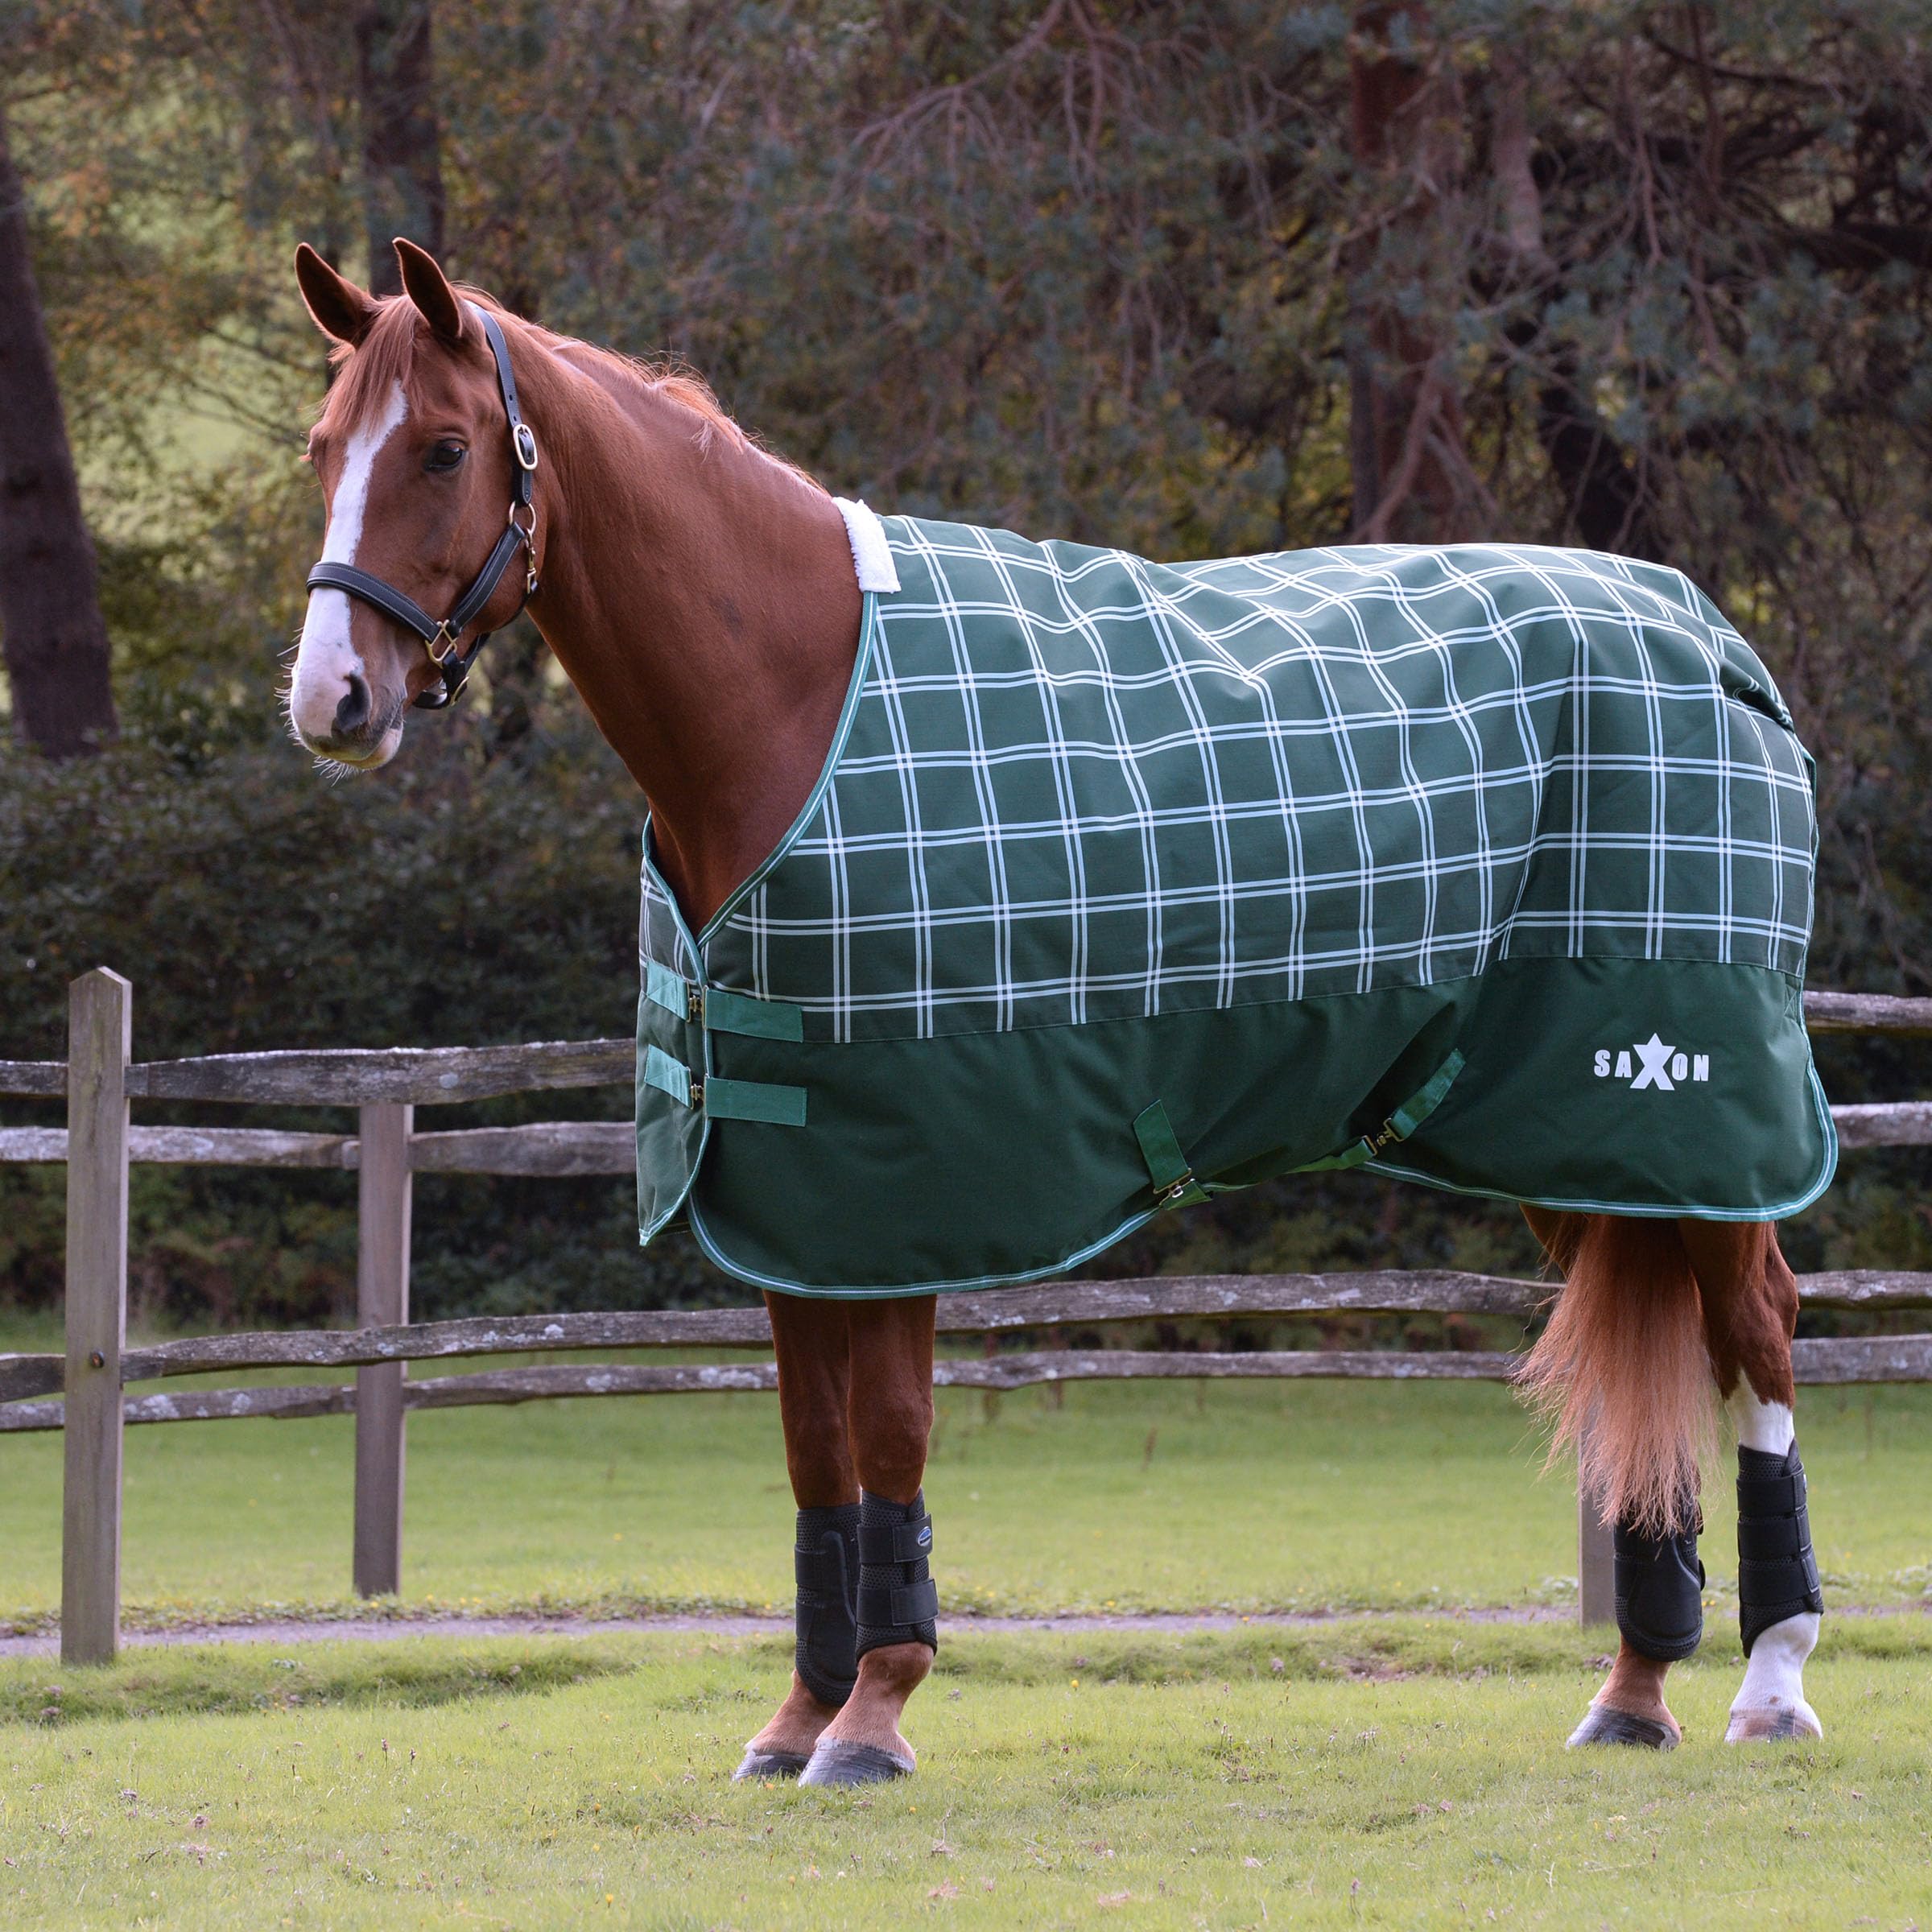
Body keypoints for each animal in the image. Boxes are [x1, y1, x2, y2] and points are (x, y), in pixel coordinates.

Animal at [284, 238, 1828, 1783]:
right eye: (321, 449)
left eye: (441, 448)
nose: (330, 702)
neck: (789, 700)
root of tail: (1708, 635)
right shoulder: (793, 1198)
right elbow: (814, 1454)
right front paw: (799, 1716)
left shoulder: (896, 1189)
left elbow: (891, 1435)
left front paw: (876, 1713)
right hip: (1564, 1135)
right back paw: (1635, 1689)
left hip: (1687, 1111)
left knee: (1756, 1327)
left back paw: (1772, 1678)